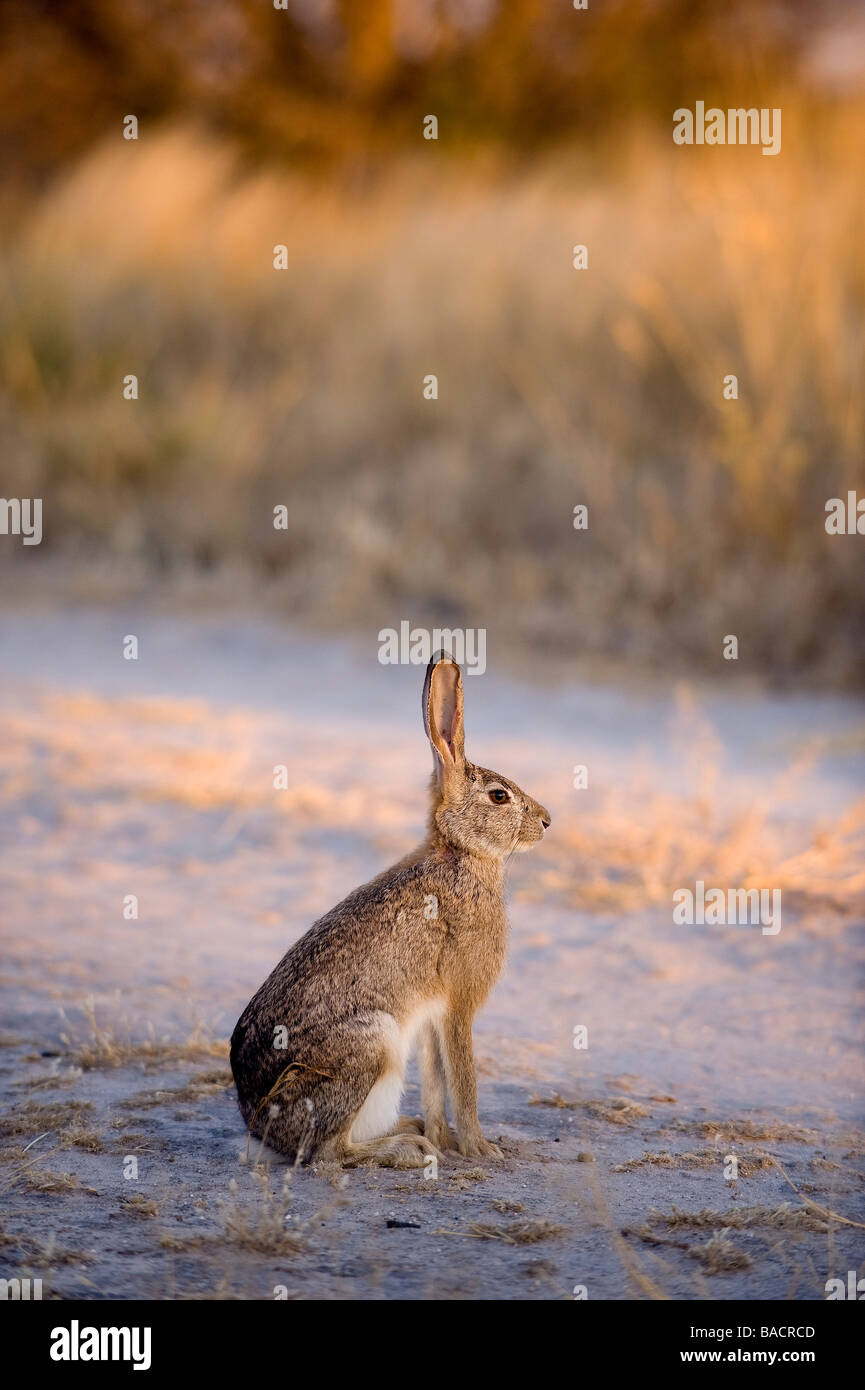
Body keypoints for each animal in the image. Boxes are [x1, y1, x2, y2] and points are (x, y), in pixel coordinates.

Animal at [230, 651, 551, 1168]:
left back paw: (415, 1131)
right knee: (329, 1153)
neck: (460, 854)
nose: (546, 821)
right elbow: (464, 1081)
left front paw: (447, 1139)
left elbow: (437, 1083)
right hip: (370, 1046)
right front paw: (481, 1149)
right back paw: (407, 1148)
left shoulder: (431, 1015)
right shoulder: (459, 1004)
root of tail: (258, 1122)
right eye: (499, 796)